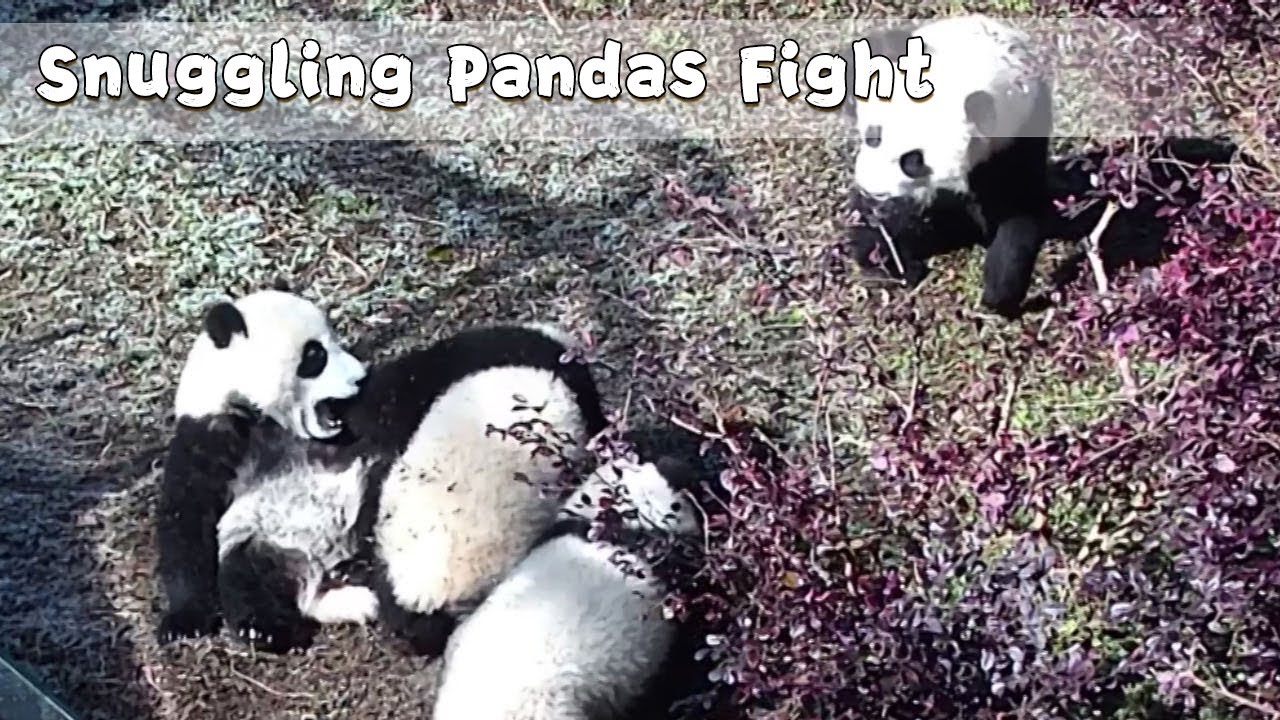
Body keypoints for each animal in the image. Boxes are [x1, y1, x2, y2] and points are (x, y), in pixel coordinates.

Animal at [155, 287, 377, 653]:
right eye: (315, 355)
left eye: (336, 339)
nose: (361, 377)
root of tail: (321, 577)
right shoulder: (210, 437)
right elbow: (186, 518)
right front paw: (183, 621)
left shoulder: (346, 445)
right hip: (268, 542)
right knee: (247, 574)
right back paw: (266, 629)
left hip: (356, 496)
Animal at [843, 14, 1054, 317]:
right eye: (874, 136)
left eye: (914, 161)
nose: (877, 193)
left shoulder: (1017, 136)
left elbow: (1018, 207)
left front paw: (998, 294)